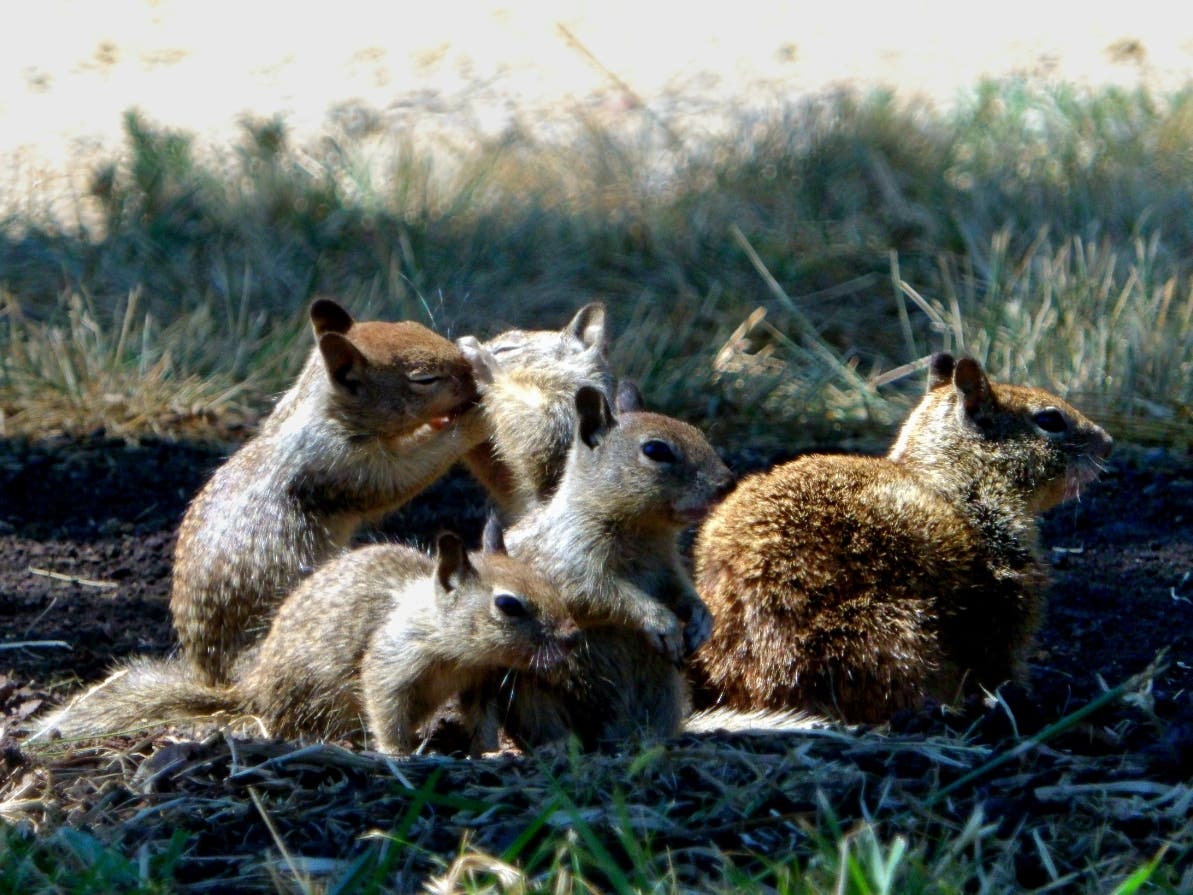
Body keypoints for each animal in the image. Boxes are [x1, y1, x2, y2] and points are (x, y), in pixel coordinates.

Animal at [38, 526, 583, 755]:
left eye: (546, 581)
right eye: (509, 605)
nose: (573, 636)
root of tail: (252, 690)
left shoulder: (479, 681)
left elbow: (483, 719)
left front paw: (491, 753)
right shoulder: (391, 662)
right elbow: (386, 706)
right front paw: (399, 754)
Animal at [170, 298, 487, 685]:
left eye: (415, 325)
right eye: (424, 379)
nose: (471, 375)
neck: (318, 406)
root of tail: (211, 676)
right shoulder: (340, 462)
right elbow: (403, 475)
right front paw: (473, 419)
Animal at [483, 382, 736, 749]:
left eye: (698, 432)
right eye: (656, 450)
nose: (727, 483)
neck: (644, 531)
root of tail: (610, 733)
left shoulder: (669, 568)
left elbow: (684, 593)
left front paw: (702, 620)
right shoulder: (572, 565)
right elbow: (602, 595)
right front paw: (660, 621)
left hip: (665, 688)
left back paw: (653, 740)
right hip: (533, 693)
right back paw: (560, 746)